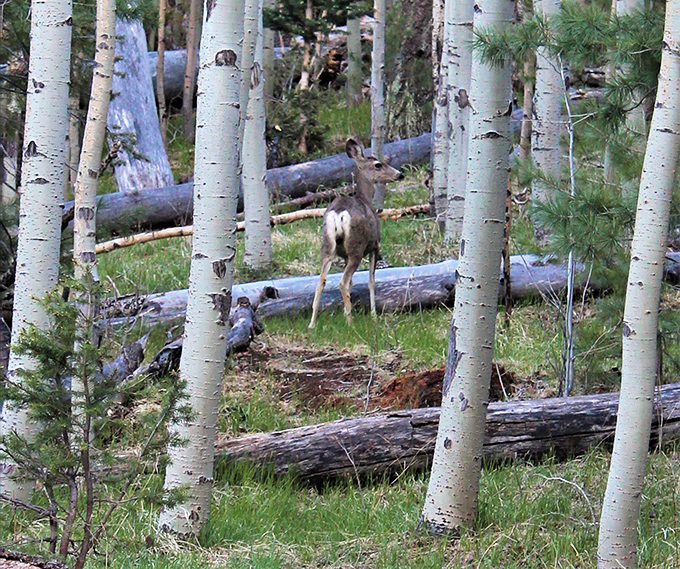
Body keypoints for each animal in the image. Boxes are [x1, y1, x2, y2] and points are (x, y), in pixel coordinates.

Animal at [308, 138, 404, 329]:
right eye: (378, 165)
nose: (400, 175)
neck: (365, 199)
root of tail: (339, 213)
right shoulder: (375, 245)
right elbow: (371, 281)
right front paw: (374, 315)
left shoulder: (344, 255)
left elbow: (353, 283)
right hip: (357, 247)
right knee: (342, 282)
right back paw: (350, 324)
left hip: (327, 246)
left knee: (321, 282)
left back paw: (312, 324)